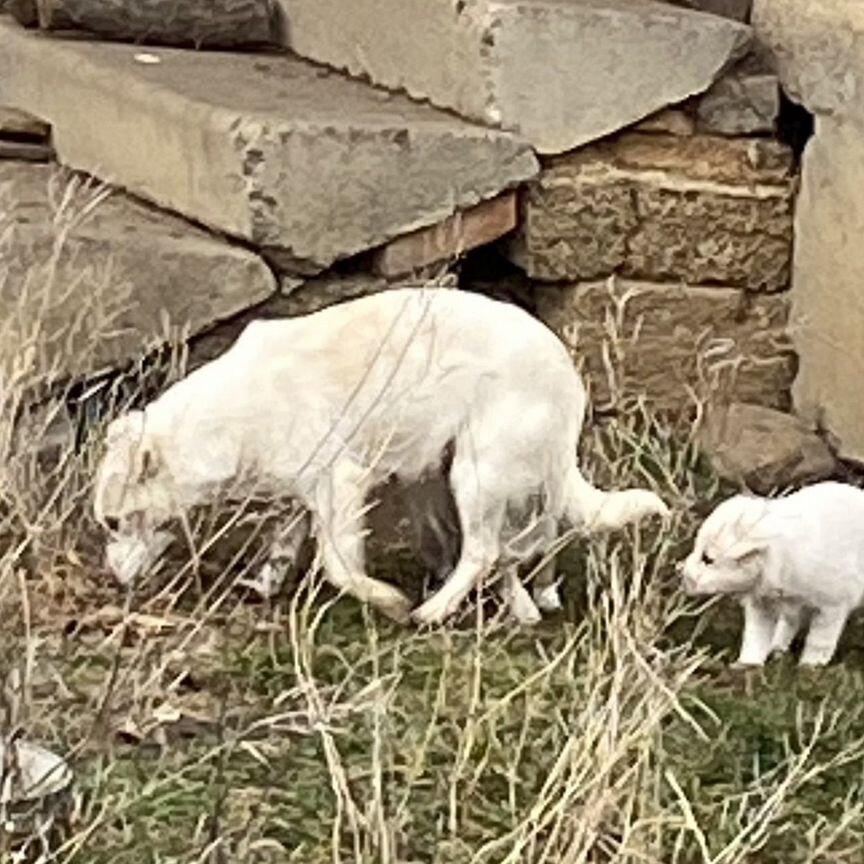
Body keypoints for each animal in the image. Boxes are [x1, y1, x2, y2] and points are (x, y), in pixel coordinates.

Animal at [93, 286, 668, 624]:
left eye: (115, 522)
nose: (114, 582)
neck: (233, 410)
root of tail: (568, 374)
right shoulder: (299, 493)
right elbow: (281, 541)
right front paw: (264, 583)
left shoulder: (341, 483)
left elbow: (338, 565)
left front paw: (388, 600)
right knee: (516, 549)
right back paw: (524, 603)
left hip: (474, 474)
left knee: (484, 551)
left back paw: (434, 611)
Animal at [680, 480, 864, 668]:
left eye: (708, 559)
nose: (683, 578)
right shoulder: (762, 606)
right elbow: (755, 638)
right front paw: (747, 666)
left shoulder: (832, 607)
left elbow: (818, 643)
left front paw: (809, 668)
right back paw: (777, 650)